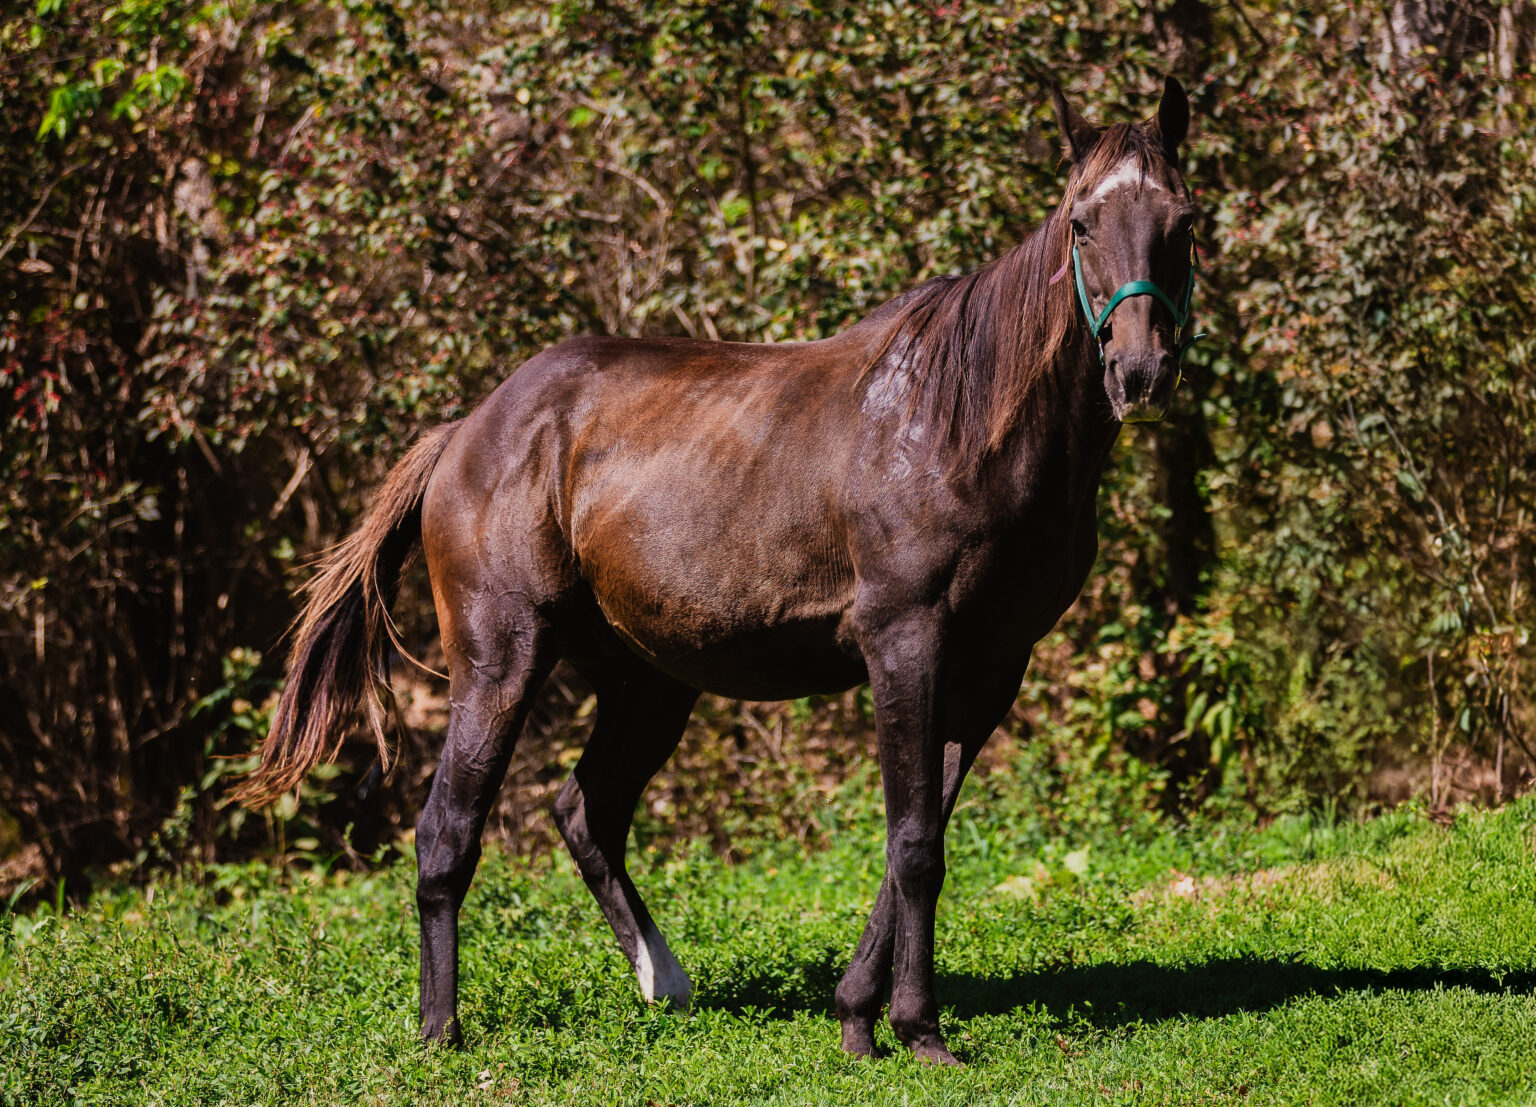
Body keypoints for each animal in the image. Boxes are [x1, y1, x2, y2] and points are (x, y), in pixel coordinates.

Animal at [240, 77, 1202, 1065]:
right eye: (1082, 223)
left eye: (1184, 219)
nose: (1140, 371)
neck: (962, 422)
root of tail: (466, 431)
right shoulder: (906, 644)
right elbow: (914, 846)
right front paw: (915, 1028)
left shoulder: (989, 670)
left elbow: (918, 835)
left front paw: (857, 1013)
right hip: (499, 660)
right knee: (445, 834)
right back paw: (443, 1029)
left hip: (649, 684)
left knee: (586, 810)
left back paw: (662, 982)